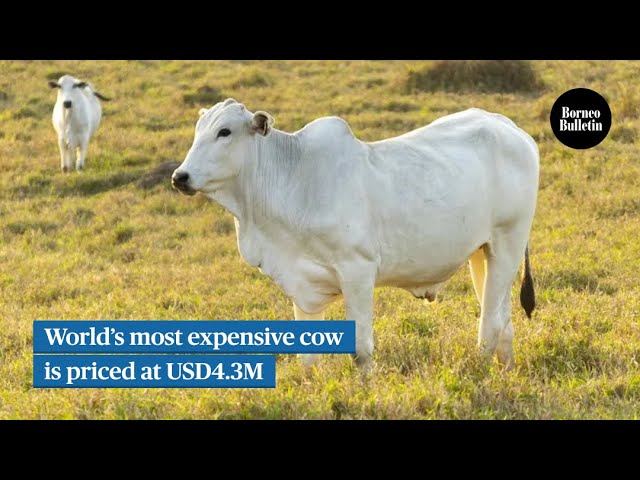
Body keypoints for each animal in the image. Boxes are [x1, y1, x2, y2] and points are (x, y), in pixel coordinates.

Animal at [172, 98, 539, 372]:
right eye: (198, 132)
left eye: (224, 132)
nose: (180, 176)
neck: (293, 180)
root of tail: (506, 125)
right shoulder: (300, 281)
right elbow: (307, 359)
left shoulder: (358, 271)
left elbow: (361, 350)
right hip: (482, 253)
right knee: (503, 321)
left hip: (509, 242)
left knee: (490, 327)